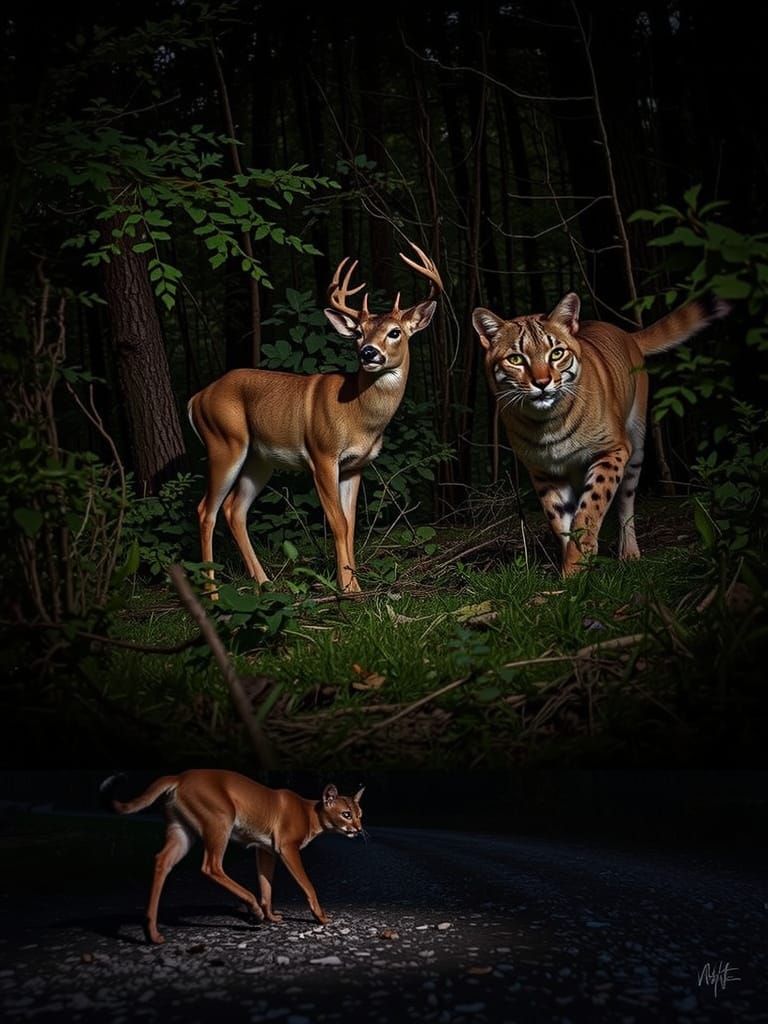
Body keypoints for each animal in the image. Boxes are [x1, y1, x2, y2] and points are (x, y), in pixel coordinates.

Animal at [187, 242, 443, 593]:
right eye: (359, 333)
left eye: (394, 332)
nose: (368, 352)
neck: (359, 417)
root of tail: (196, 398)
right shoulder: (322, 455)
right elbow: (337, 523)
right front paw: (346, 589)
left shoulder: (355, 465)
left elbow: (351, 525)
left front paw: (355, 586)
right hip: (224, 442)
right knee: (205, 511)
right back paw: (212, 594)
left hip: (258, 458)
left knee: (233, 509)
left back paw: (264, 582)